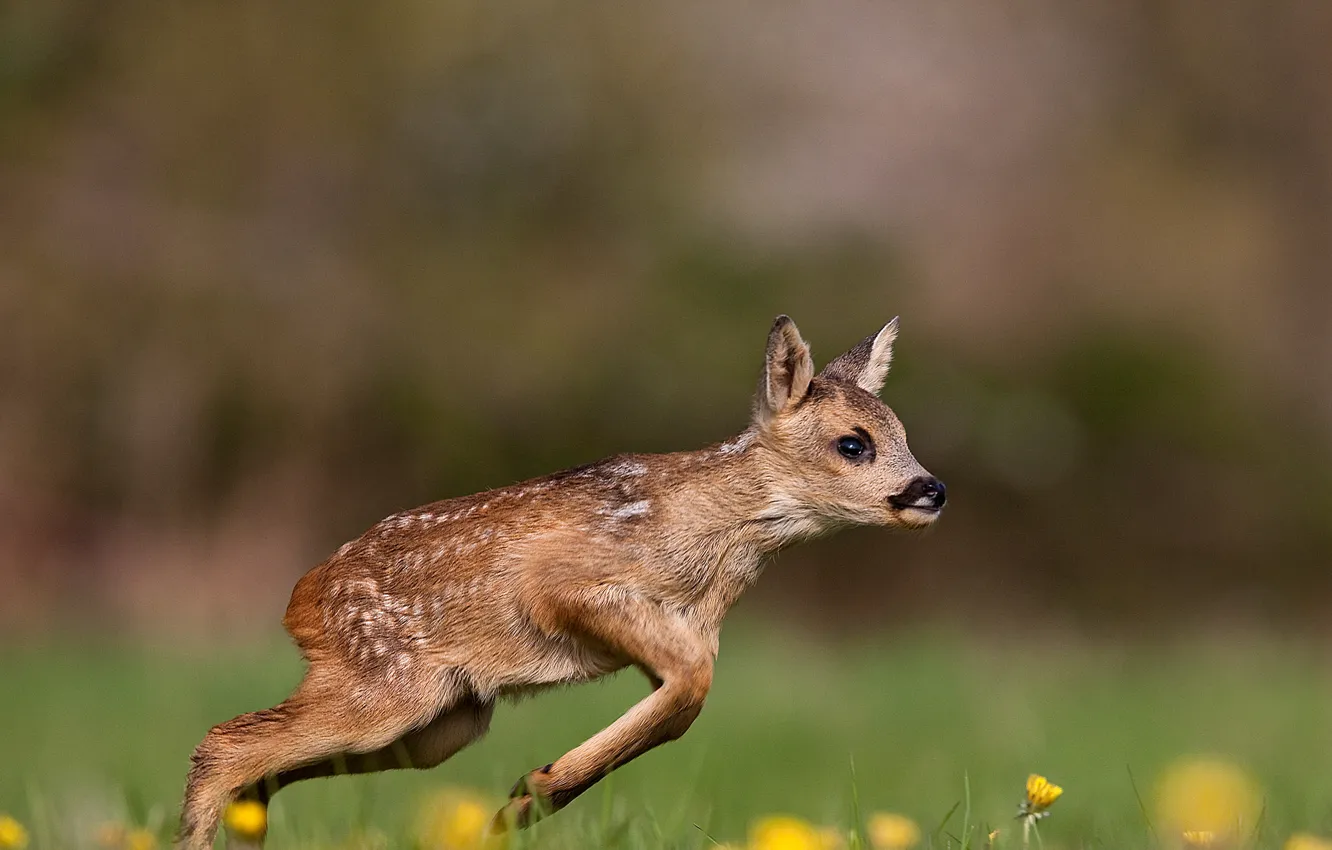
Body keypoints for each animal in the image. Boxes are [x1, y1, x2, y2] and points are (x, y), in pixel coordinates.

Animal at [177, 315, 946, 848]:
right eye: (853, 443)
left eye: (904, 433)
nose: (930, 489)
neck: (709, 552)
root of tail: (300, 601)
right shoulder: (565, 586)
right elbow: (692, 687)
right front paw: (529, 795)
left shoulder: (684, 632)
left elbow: (685, 699)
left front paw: (528, 799)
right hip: (386, 692)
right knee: (224, 745)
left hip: (439, 724)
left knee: (257, 770)